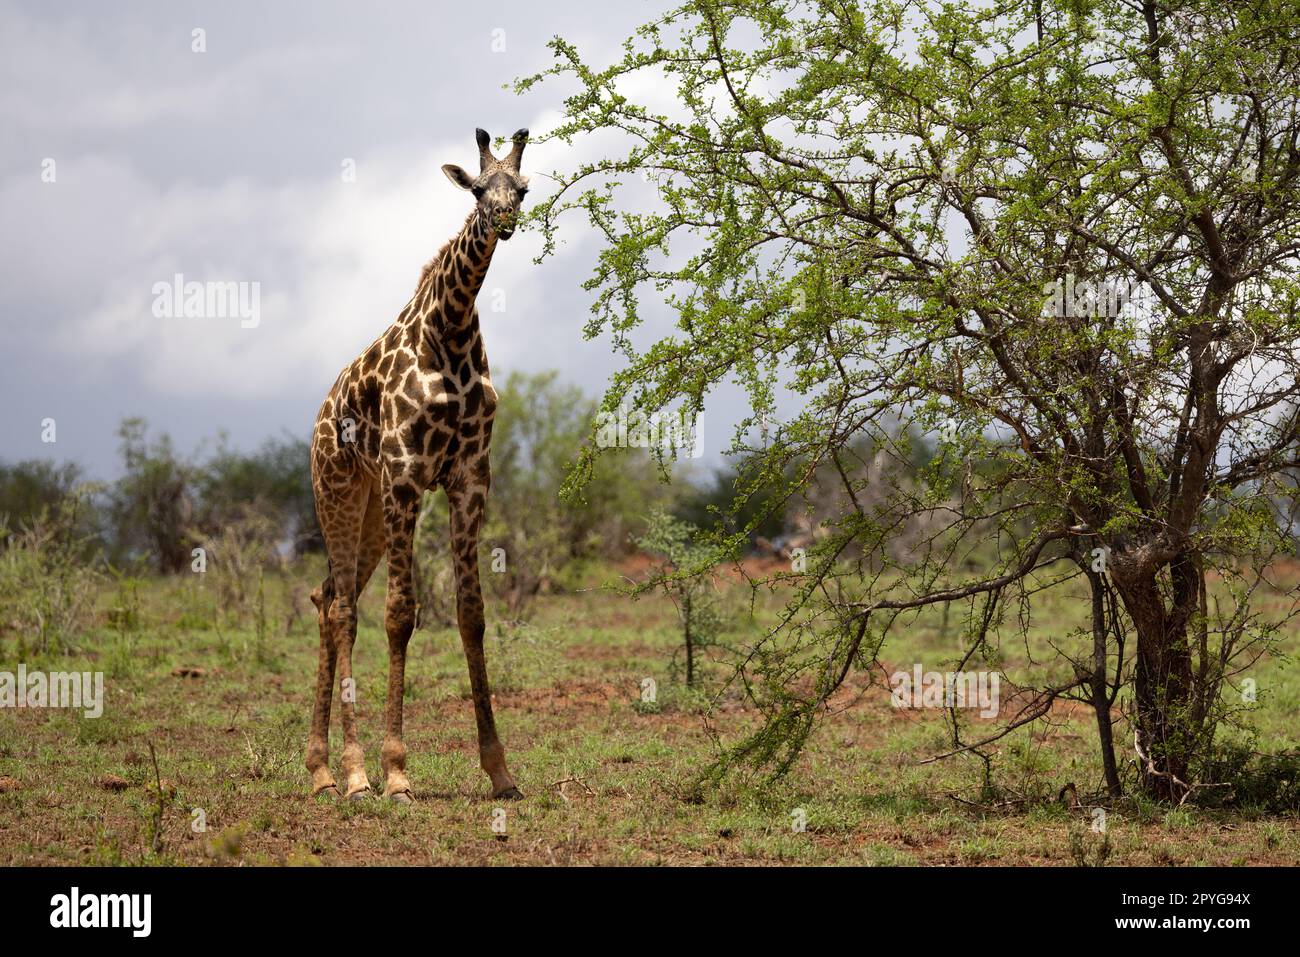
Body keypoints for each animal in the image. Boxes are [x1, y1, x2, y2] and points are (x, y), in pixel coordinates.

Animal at [305, 128, 530, 803]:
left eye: (522, 187)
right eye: (479, 189)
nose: (503, 219)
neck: (450, 332)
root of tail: (321, 414)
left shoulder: (469, 479)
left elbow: (472, 615)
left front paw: (500, 770)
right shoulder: (405, 474)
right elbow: (400, 615)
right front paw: (396, 772)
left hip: (373, 514)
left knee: (328, 596)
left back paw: (321, 769)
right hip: (339, 491)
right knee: (345, 609)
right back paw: (353, 774)